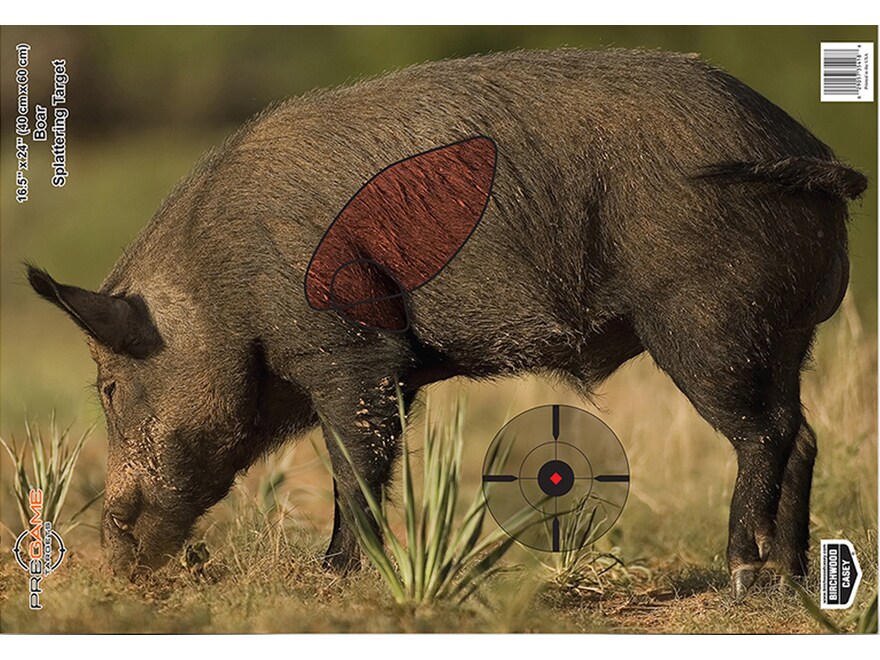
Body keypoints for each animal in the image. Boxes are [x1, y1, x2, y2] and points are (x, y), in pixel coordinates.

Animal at [27, 48, 866, 597]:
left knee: (765, 434)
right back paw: (791, 579)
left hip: (707, 322)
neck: (220, 291)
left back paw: (742, 572)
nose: (111, 556)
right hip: (788, 336)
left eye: (109, 386)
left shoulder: (353, 350)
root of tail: (810, 150)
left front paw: (332, 578)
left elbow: (353, 467)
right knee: (802, 432)